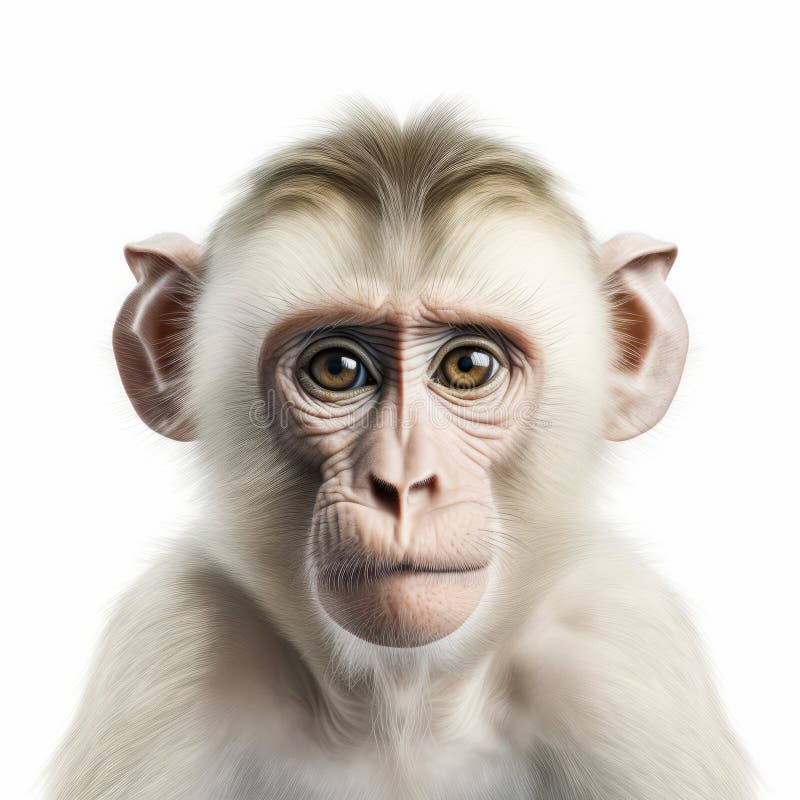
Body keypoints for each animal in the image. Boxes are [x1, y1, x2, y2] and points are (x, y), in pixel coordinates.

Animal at [47, 104, 754, 800]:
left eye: (469, 366)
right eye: (336, 369)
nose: (403, 481)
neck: (403, 709)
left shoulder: (620, 652)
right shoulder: (169, 647)